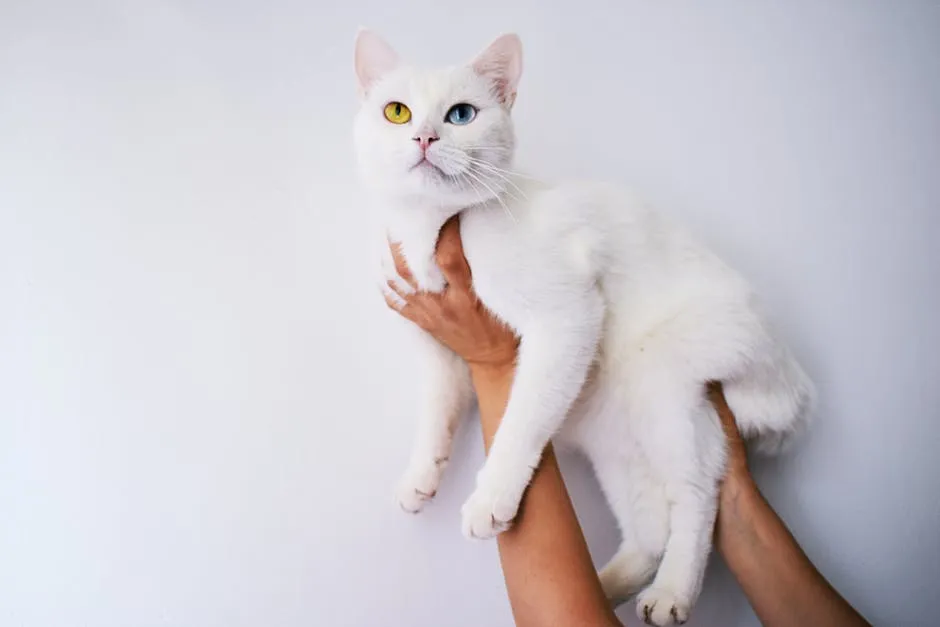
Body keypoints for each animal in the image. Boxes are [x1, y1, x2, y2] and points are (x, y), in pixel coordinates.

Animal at [352, 30, 816, 627]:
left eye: (461, 114)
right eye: (397, 111)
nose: (425, 136)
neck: (429, 232)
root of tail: (789, 373)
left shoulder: (566, 317)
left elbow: (519, 423)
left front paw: (491, 499)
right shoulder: (437, 348)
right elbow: (437, 414)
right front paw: (421, 476)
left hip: (665, 389)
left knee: (698, 494)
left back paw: (672, 592)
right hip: (614, 443)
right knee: (650, 531)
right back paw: (607, 583)